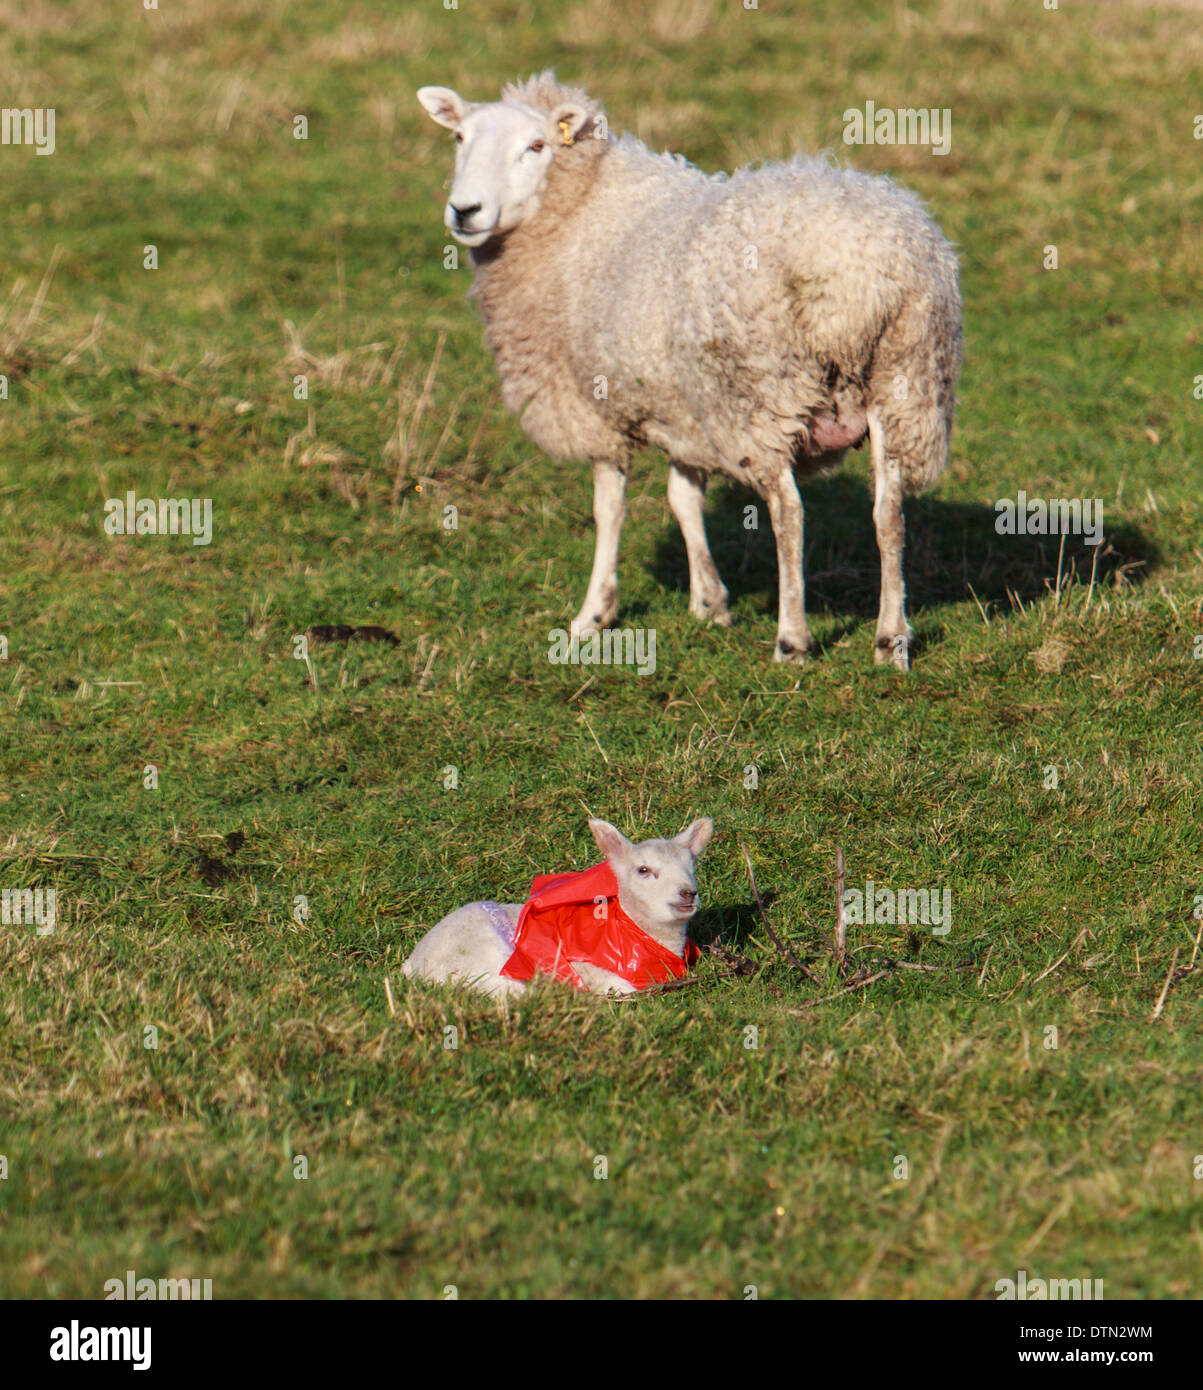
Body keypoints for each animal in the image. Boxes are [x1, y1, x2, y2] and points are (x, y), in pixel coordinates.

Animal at [401, 817, 713, 999]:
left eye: (692, 866)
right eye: (644, 870)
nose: (688, 893)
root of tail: (411, 965)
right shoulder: (582, 963)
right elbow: (619, 986)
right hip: (480, 953)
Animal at [417, 71, 962, 669]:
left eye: (536, 146)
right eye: (459, 138)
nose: (465, 210)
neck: (579, 210)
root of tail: (860, 271)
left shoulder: (599, 408)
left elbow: (609, 508)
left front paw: (594, 615)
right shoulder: (681, 407)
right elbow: (684, 499)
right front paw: (710, 603)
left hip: (760, 396)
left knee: (789, 513)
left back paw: (792, 640)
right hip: (905, 383)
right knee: (889, 513)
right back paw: (891, 640)